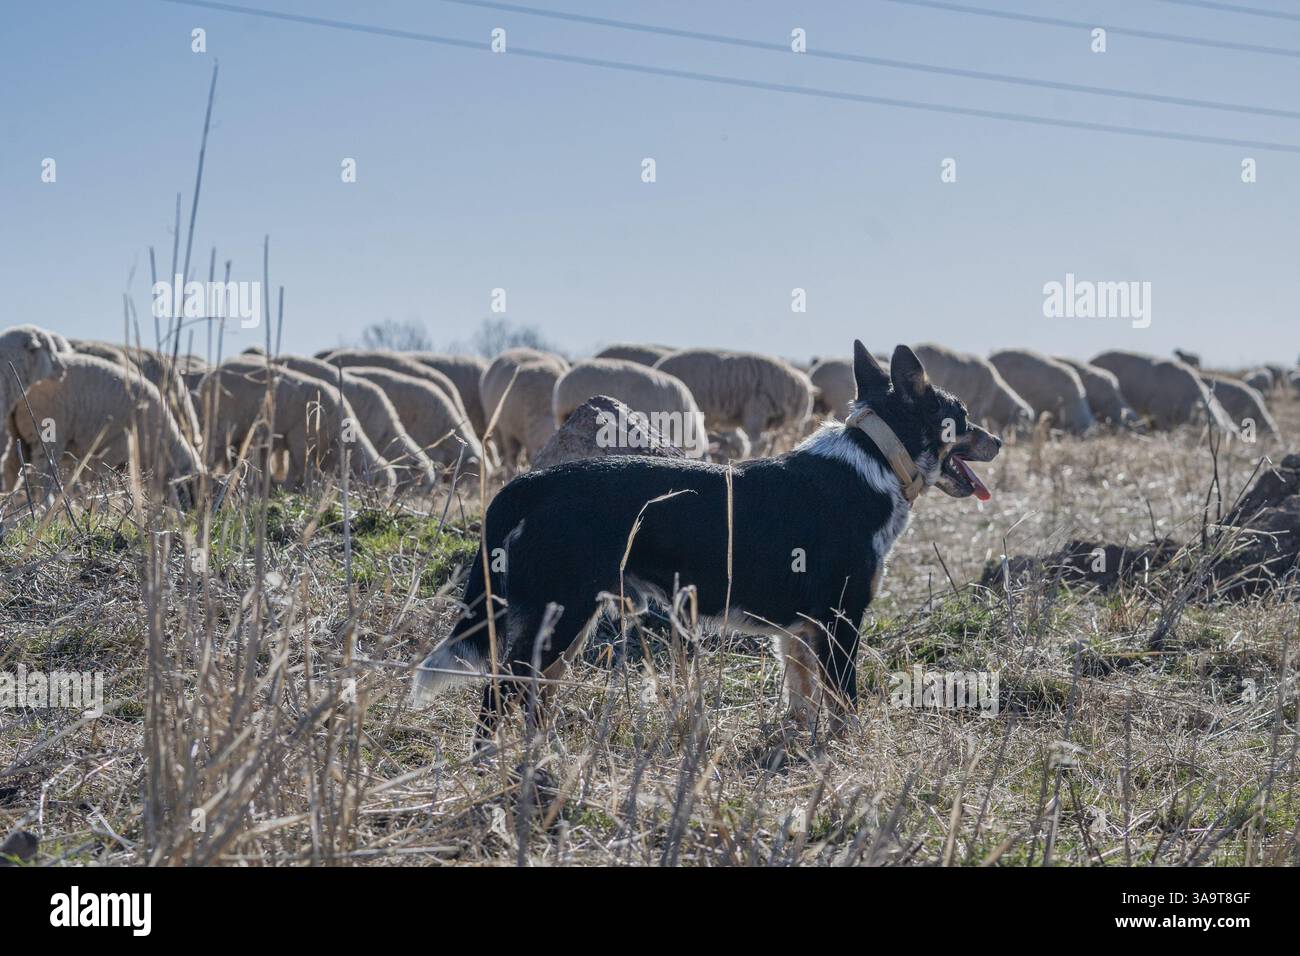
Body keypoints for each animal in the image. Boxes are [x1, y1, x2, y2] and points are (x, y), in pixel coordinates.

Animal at [3, 354, 202, 502]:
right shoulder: (112, 451)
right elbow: (99, 482)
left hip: (17, 436)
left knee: (13, 474)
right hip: (48, 431)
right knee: (42, 477)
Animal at [197, 359, 397, 495]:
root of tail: (207, 378)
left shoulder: (293, 441)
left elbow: (294, 467)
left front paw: (287, 488)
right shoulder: (300, 436)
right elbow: (304, 467)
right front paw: (305, 490)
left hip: (242, 430)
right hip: (222, 421)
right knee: (212, 448)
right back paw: (208, 474)